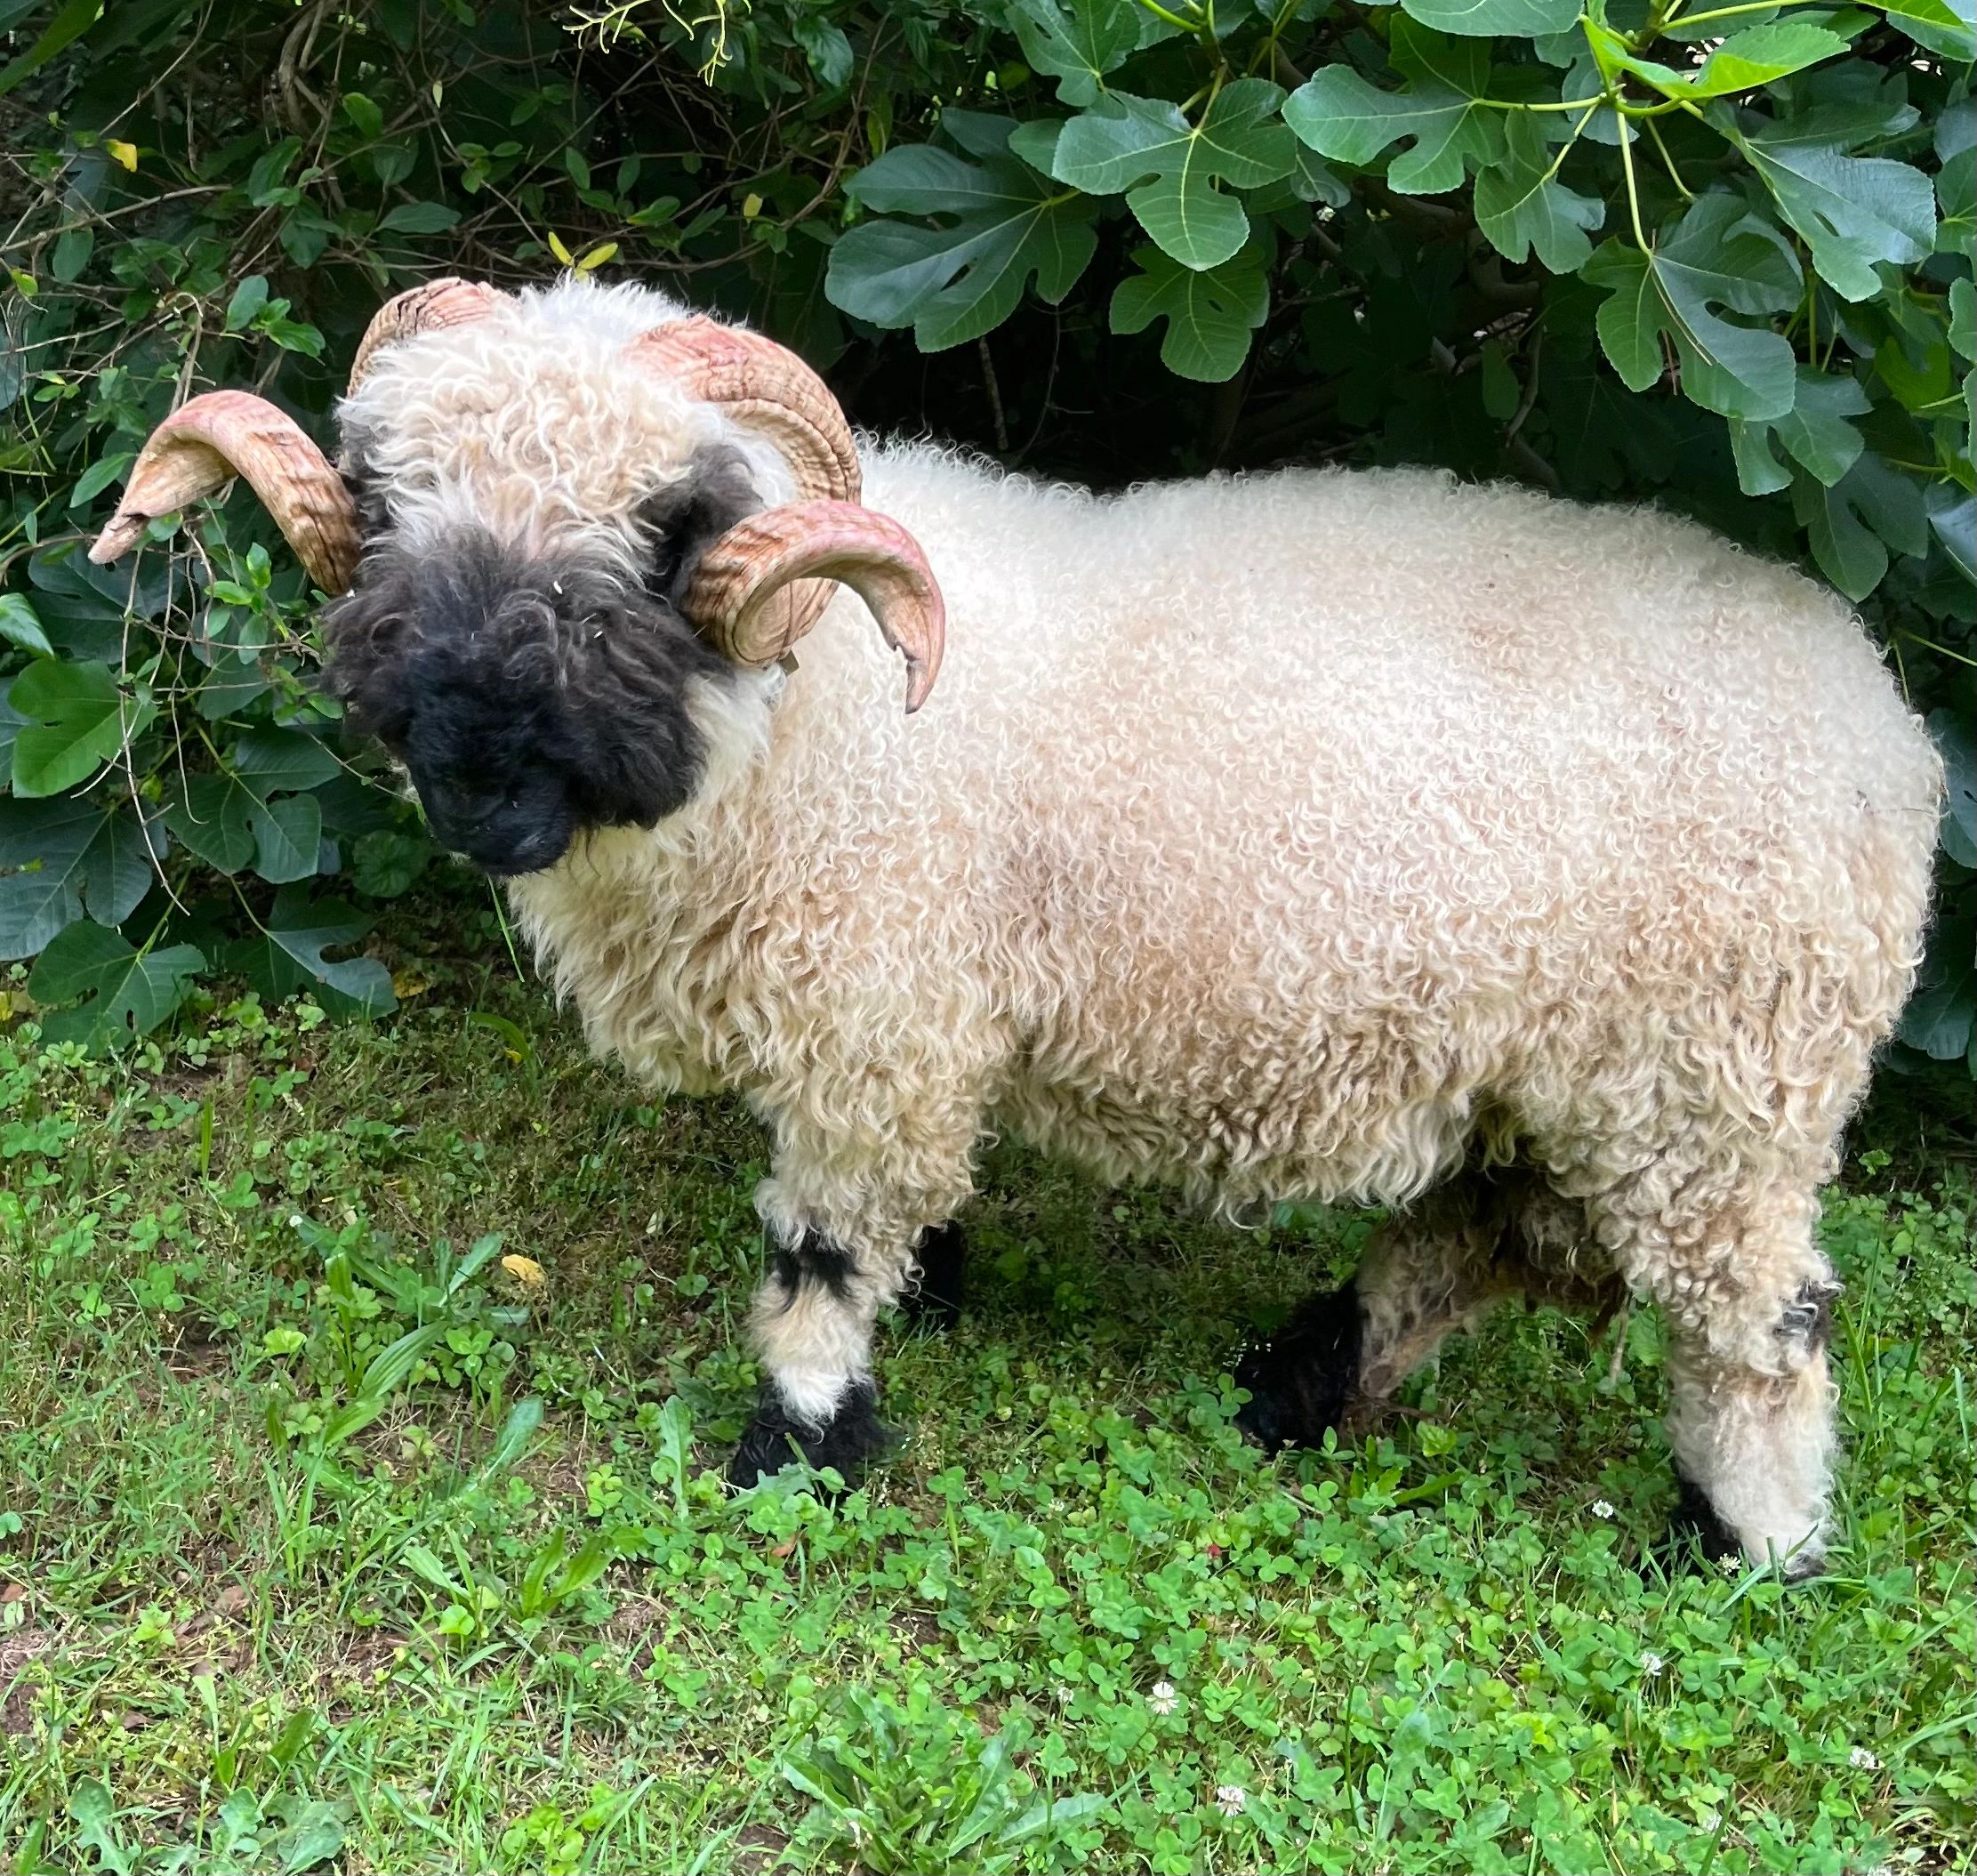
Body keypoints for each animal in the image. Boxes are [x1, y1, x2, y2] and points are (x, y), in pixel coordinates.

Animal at [92, 274, 1943, 1576]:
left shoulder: (879, 1020)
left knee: (1758, 1321)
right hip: (1569, 1071)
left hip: (1716, 1078)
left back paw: (1744, 1543)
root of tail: (1887, 728)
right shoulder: (912, 1028)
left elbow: (822, 1247)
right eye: (383, 491)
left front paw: (799, 1445)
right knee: (1482, 1235)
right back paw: (1296, 1386)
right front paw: (935, 1295)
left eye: (673, 527)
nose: (476, 758)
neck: (813, 707)